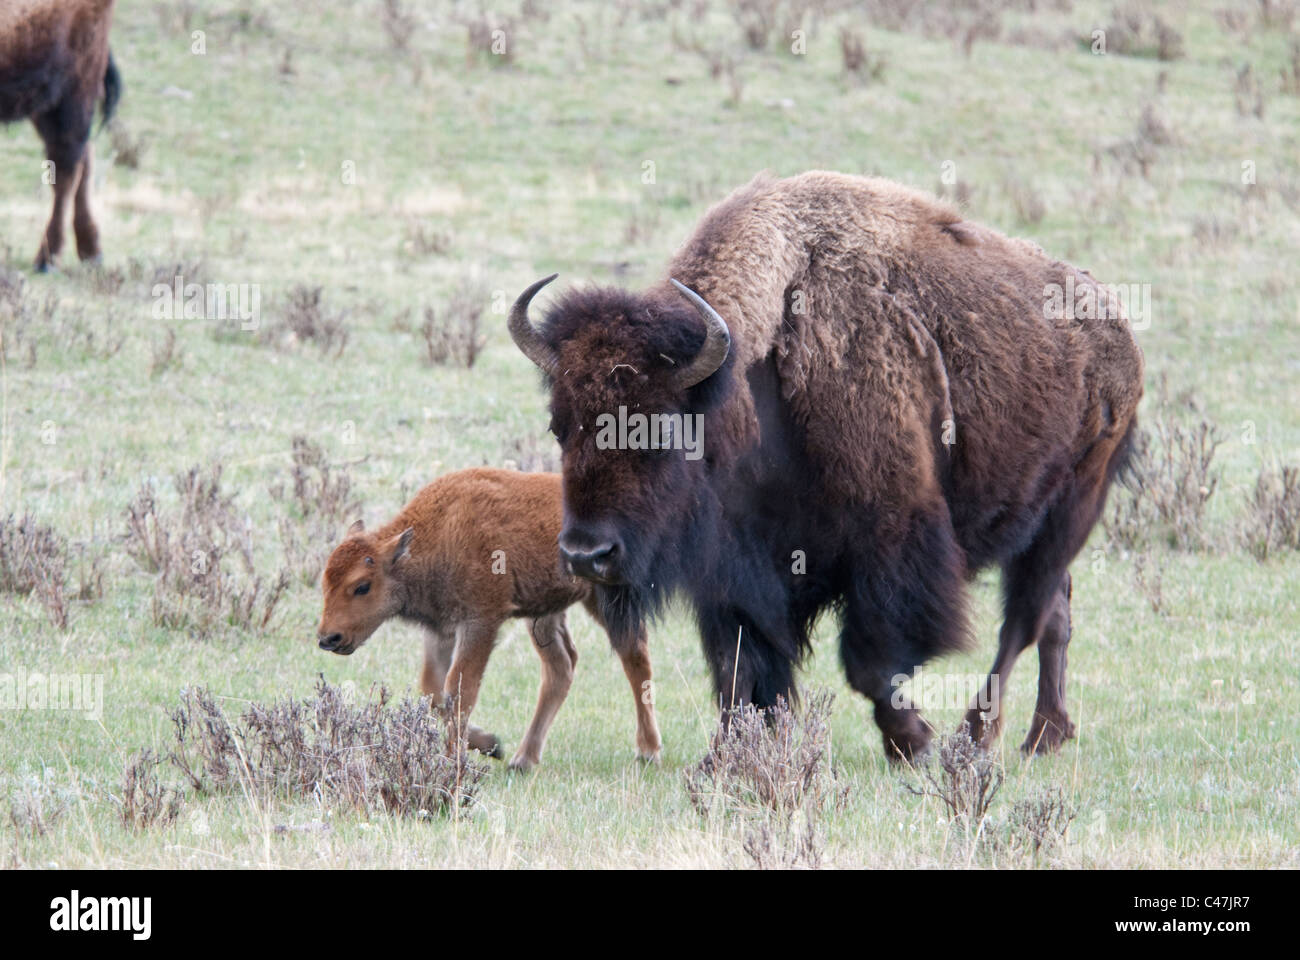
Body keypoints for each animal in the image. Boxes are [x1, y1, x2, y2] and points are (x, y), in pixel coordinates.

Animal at [0, 0, 120, 272]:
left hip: (73, 89)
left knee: (67, 169)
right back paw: (91, 252)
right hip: (45, 101)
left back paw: (47, 259)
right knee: (81, 160)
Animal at [316, 468, 662, 772]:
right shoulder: (441, 629)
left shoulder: (480, 622)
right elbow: (433, 689)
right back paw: (523, 759)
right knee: (561, 667)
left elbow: (460, 689)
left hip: (605, 600)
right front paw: (491, 745)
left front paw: (453, 761)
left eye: (362, 586)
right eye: (325, 582)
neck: (437, 532)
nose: (328, 638)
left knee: (635, 657)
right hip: (544, 614)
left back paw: (648, 751)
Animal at [507, 171, 1143, 761]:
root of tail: (1117, 328)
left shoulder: (890, 543)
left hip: (1073, 504)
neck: (743, 384)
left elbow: (870, 662)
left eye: (659, 429)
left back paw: (977, 734)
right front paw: (727, 758)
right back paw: (1045, 735)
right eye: (559, 426)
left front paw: (913, 742)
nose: (586, 555)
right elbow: (741, 670)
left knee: (1023, 621)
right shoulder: (734, 572)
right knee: (1054, 613)